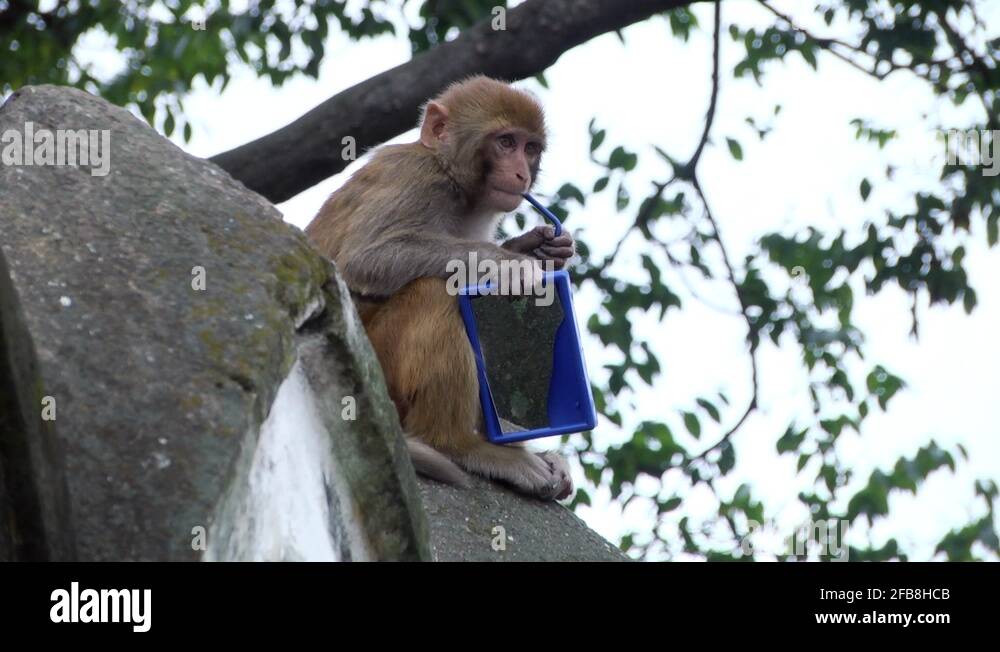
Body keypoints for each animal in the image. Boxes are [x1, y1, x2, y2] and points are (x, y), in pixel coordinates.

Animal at [306, 76, 576, 501]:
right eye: (506, 142)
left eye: (530, 147)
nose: (521, 174)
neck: (454, 181)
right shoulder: (416, 177)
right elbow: (367, 257)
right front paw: (509, 263)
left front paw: (541, 248)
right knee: (436, 290)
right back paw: (458, 445)